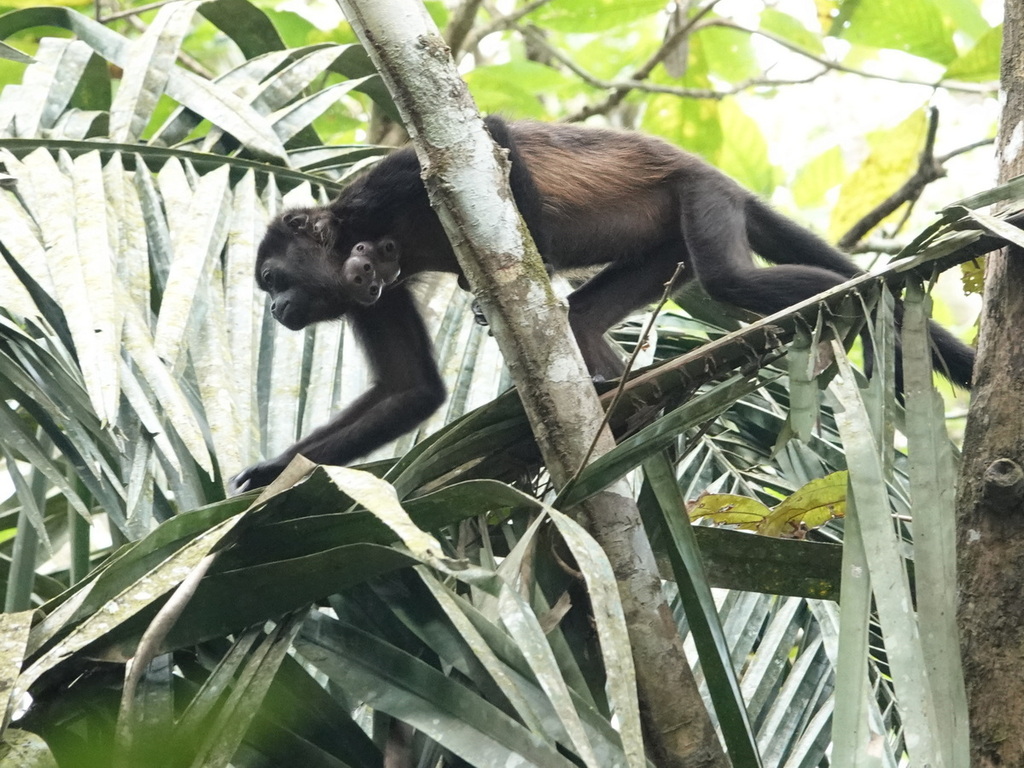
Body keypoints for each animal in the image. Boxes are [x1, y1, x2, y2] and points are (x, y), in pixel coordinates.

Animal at [230, 117, 975, 491]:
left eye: (272, 278)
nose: (275, 310)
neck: (359, 235)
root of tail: (721, 179)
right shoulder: (369, 296)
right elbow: (412, 389)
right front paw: (272, 470)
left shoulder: (381, 186)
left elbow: (494, 146)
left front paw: (511, 268)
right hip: (664, 248)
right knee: (584, 317)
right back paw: (614, 393)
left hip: (702, 198)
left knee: (728, 278)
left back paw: (866, 307)